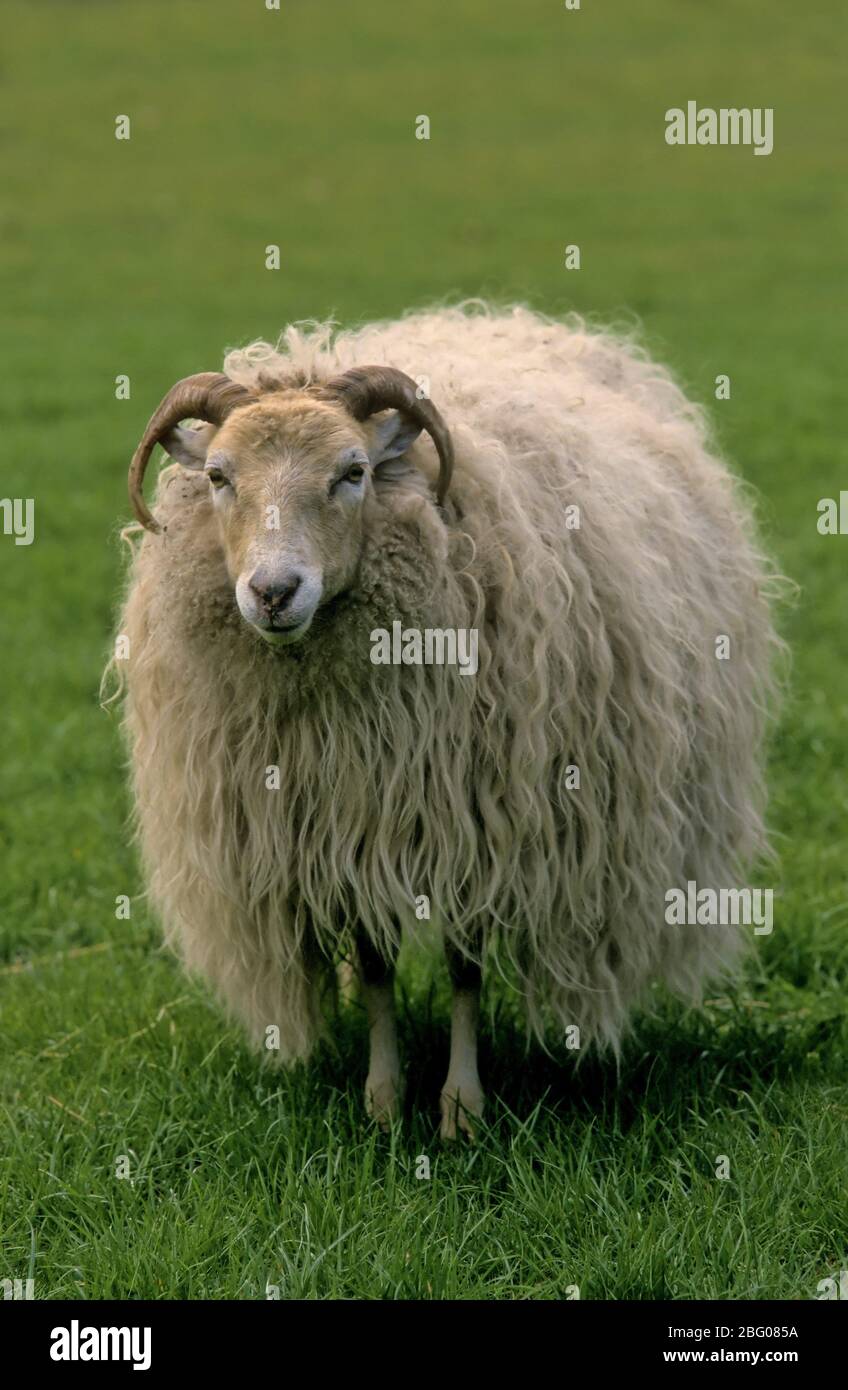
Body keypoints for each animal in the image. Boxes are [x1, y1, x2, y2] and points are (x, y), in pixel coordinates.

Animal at [108, 302, 782, 1138]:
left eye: (353, 472)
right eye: (218, 476)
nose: (272, 592)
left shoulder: (480, 822)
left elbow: (465, 967)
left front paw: (462, 1107)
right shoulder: (340, 824)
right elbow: (375, 965)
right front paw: (384, 1100)